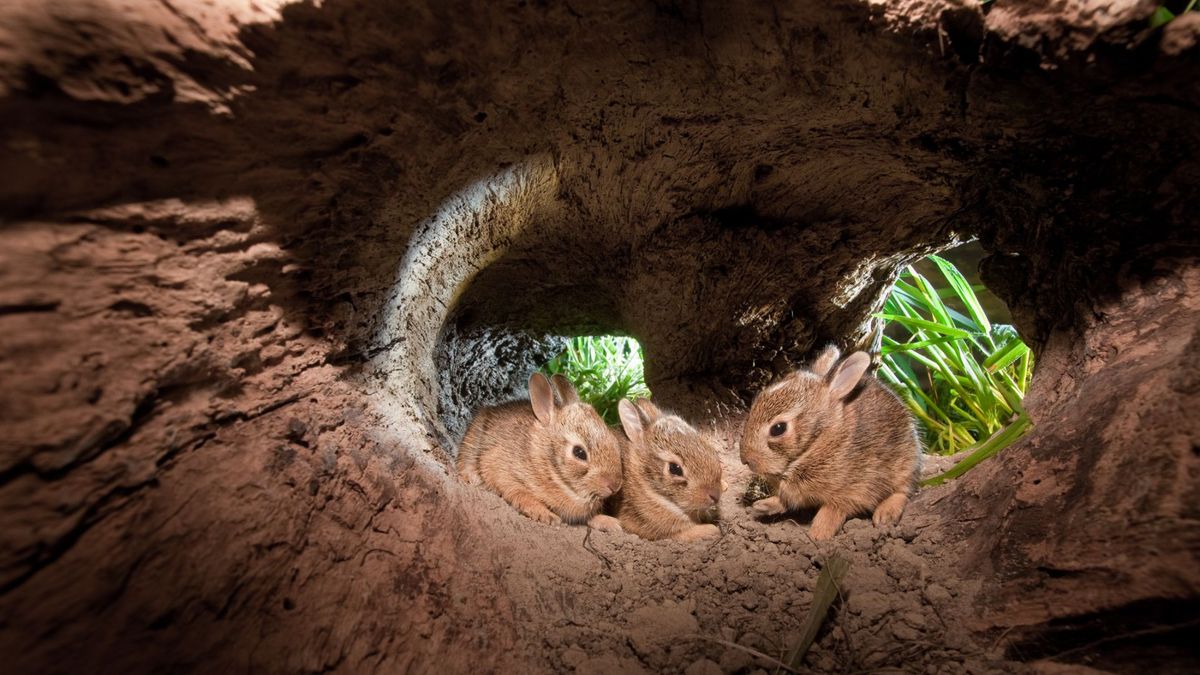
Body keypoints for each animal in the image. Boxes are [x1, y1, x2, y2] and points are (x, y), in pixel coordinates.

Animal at [456, 372, 624, 531]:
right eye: (579, 452)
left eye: (613, 440)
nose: (615, 486)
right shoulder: (503, 472)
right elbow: (522, 495)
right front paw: (546, 515)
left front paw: (610, 523)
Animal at [739, 345, 921, 540]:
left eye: (778, 428)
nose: (745, 459)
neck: (819, 440)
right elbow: (784, 502)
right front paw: (762, 506)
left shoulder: (851, 492)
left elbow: (831, 512)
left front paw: (817, 535)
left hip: (905, 463)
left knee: (903, 491)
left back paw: (885, 516)